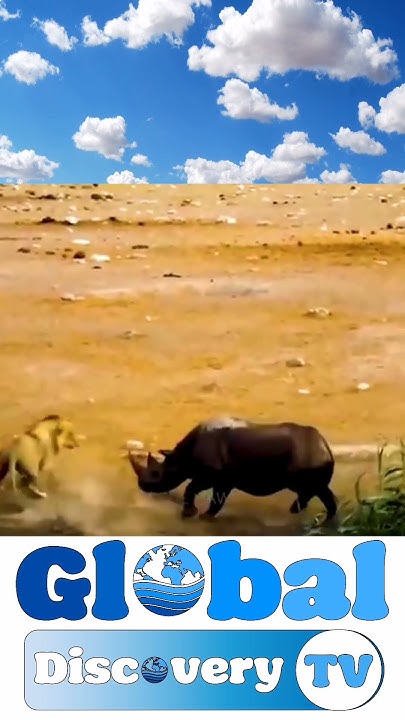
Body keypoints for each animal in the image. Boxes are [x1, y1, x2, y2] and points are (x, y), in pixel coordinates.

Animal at [128, 416, 337, 522]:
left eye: (156, 473)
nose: (142, 486)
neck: (182, 456)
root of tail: (325, 447)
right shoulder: (225, 479)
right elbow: (216, 499)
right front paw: (205, 515)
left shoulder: (211, 475)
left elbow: (192, 488)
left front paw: (194, 515)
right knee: (321, 490)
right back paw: (324, 519)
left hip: (305, 458)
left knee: (309, 488)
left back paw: (296, 511)